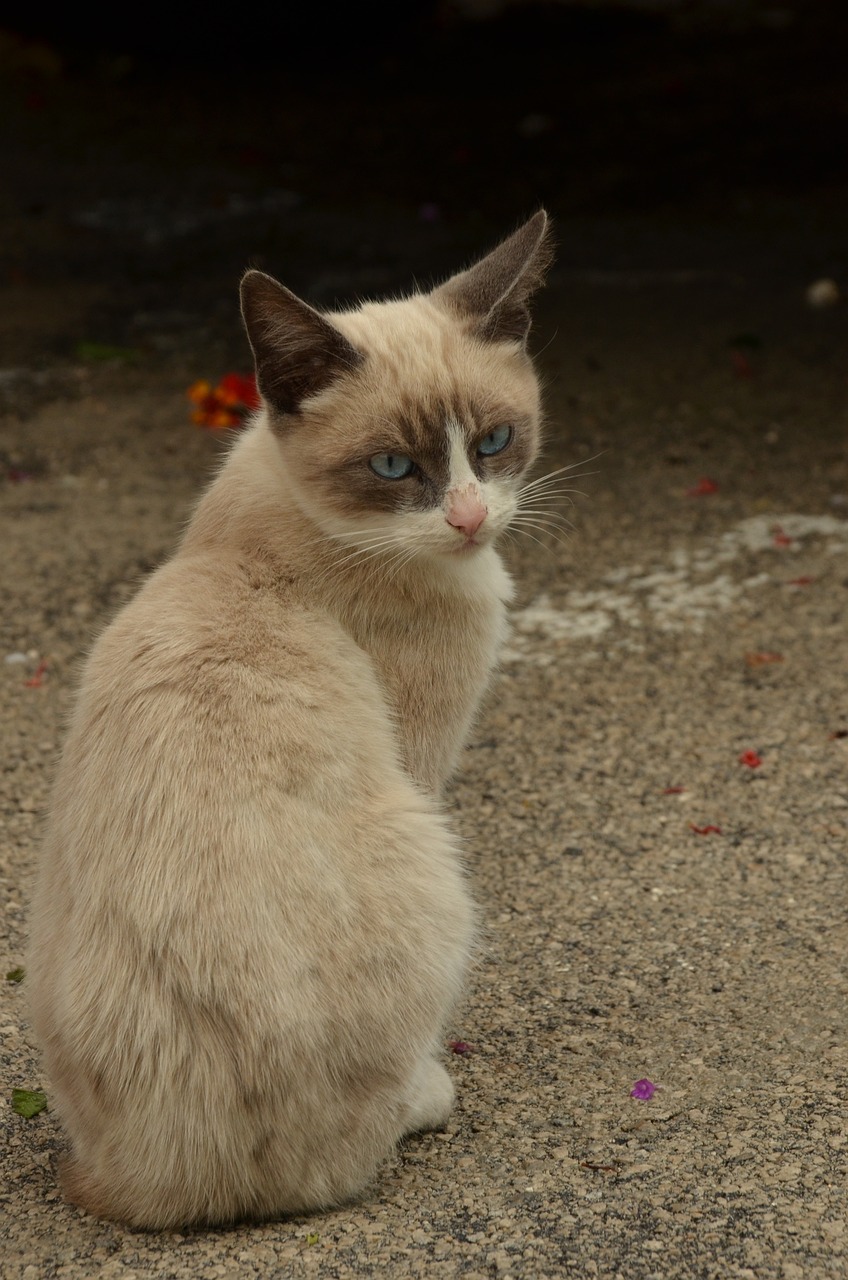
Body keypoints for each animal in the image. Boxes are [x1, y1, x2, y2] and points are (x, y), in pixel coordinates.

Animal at [26, 212, 555, 1228]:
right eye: (393, 467)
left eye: (496, 441)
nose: (470, 519)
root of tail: (150, 1184)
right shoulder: (422, 759)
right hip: (432, 861)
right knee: (337, 1164)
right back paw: (424, 1094)